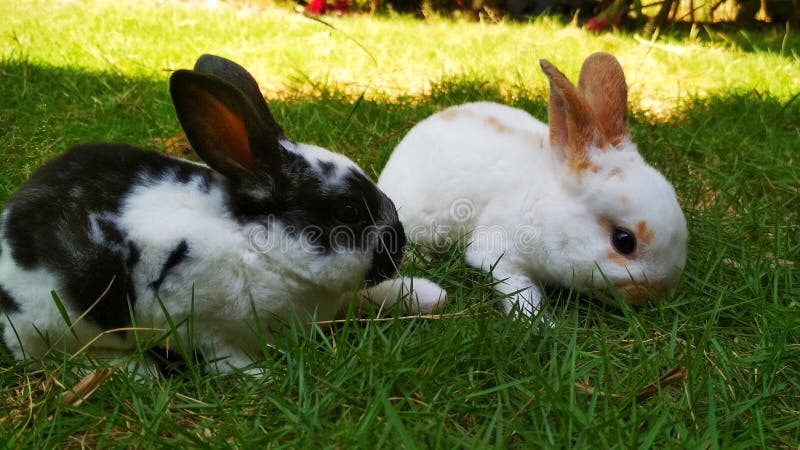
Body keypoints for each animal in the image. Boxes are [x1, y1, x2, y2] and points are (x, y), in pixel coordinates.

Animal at [0, 54, 445, 373]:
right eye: (348, 209)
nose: (398, 248)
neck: (259, 247)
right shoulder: (201, 323)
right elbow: (226, 359)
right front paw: (263, 379)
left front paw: (428, 295)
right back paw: (137, 372)